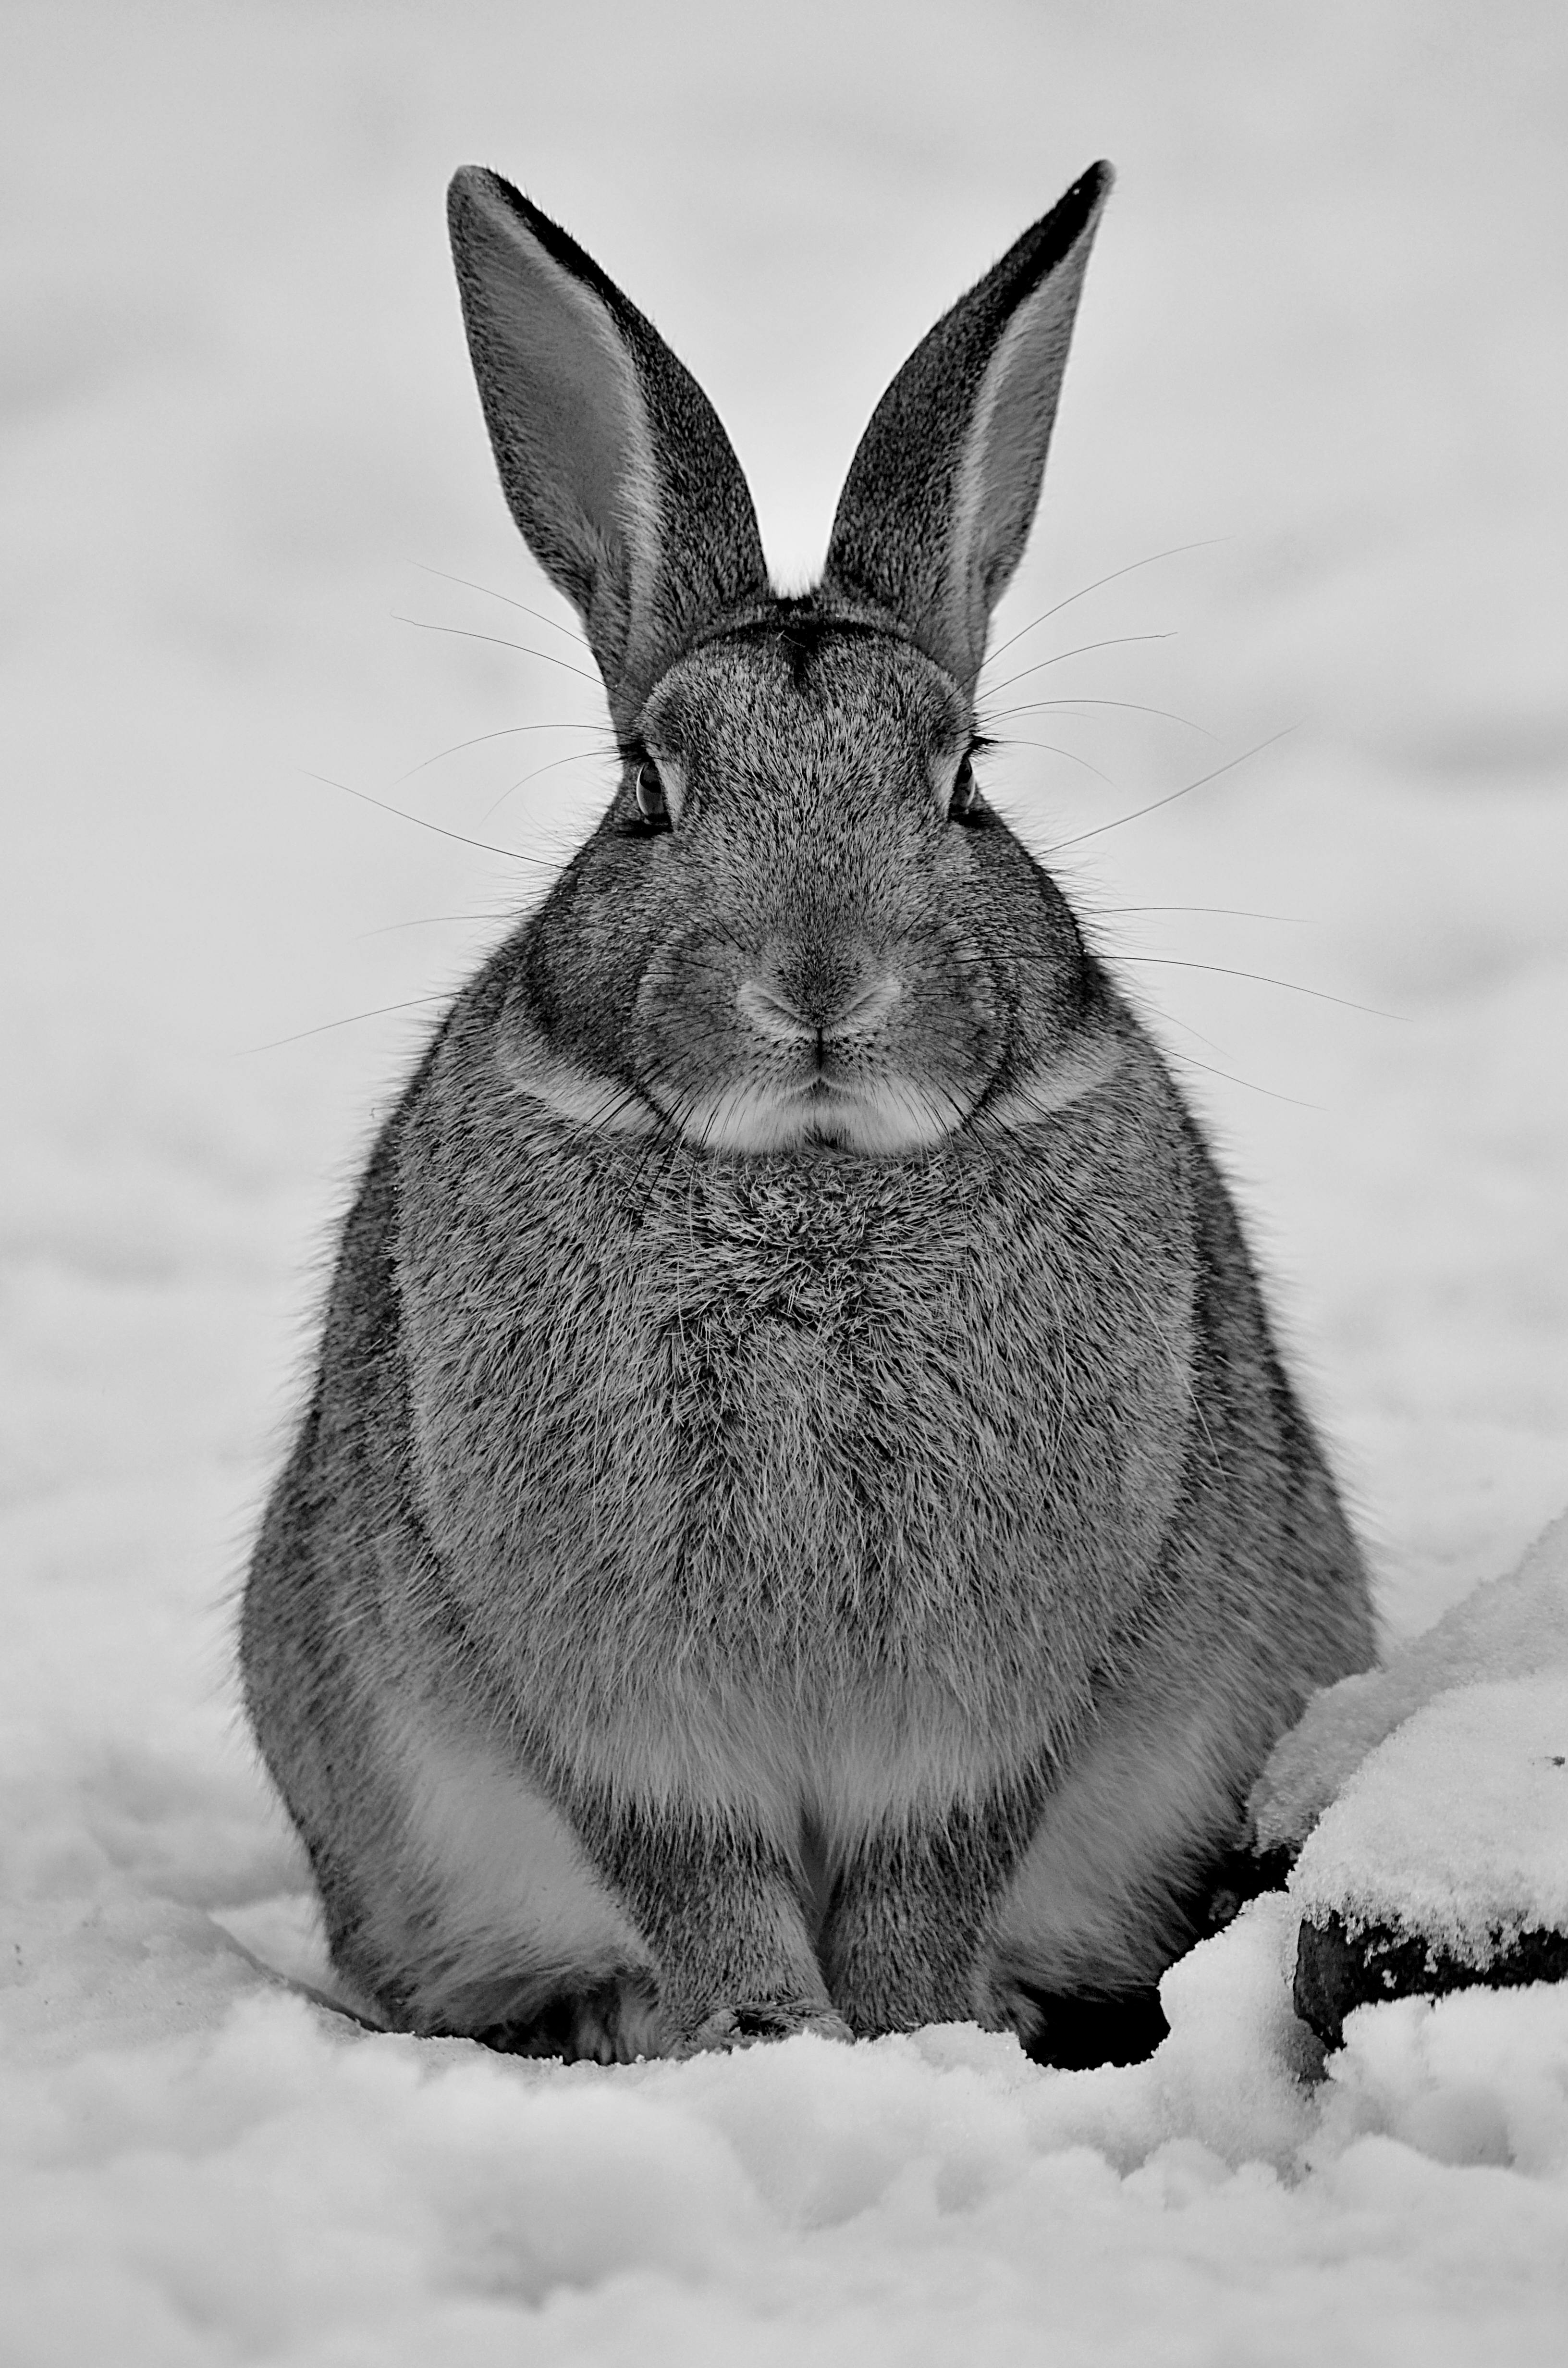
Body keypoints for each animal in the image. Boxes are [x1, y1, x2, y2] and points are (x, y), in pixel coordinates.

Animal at [241, 158, 1375, 2068]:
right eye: (645, 787)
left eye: (965, 776)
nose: (821, 979)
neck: (812, 1175)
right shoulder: (621, 1716)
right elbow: (697, 1873)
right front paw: (763, 2037)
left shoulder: (994, 1714)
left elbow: (929, 1876)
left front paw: (910, 2042)